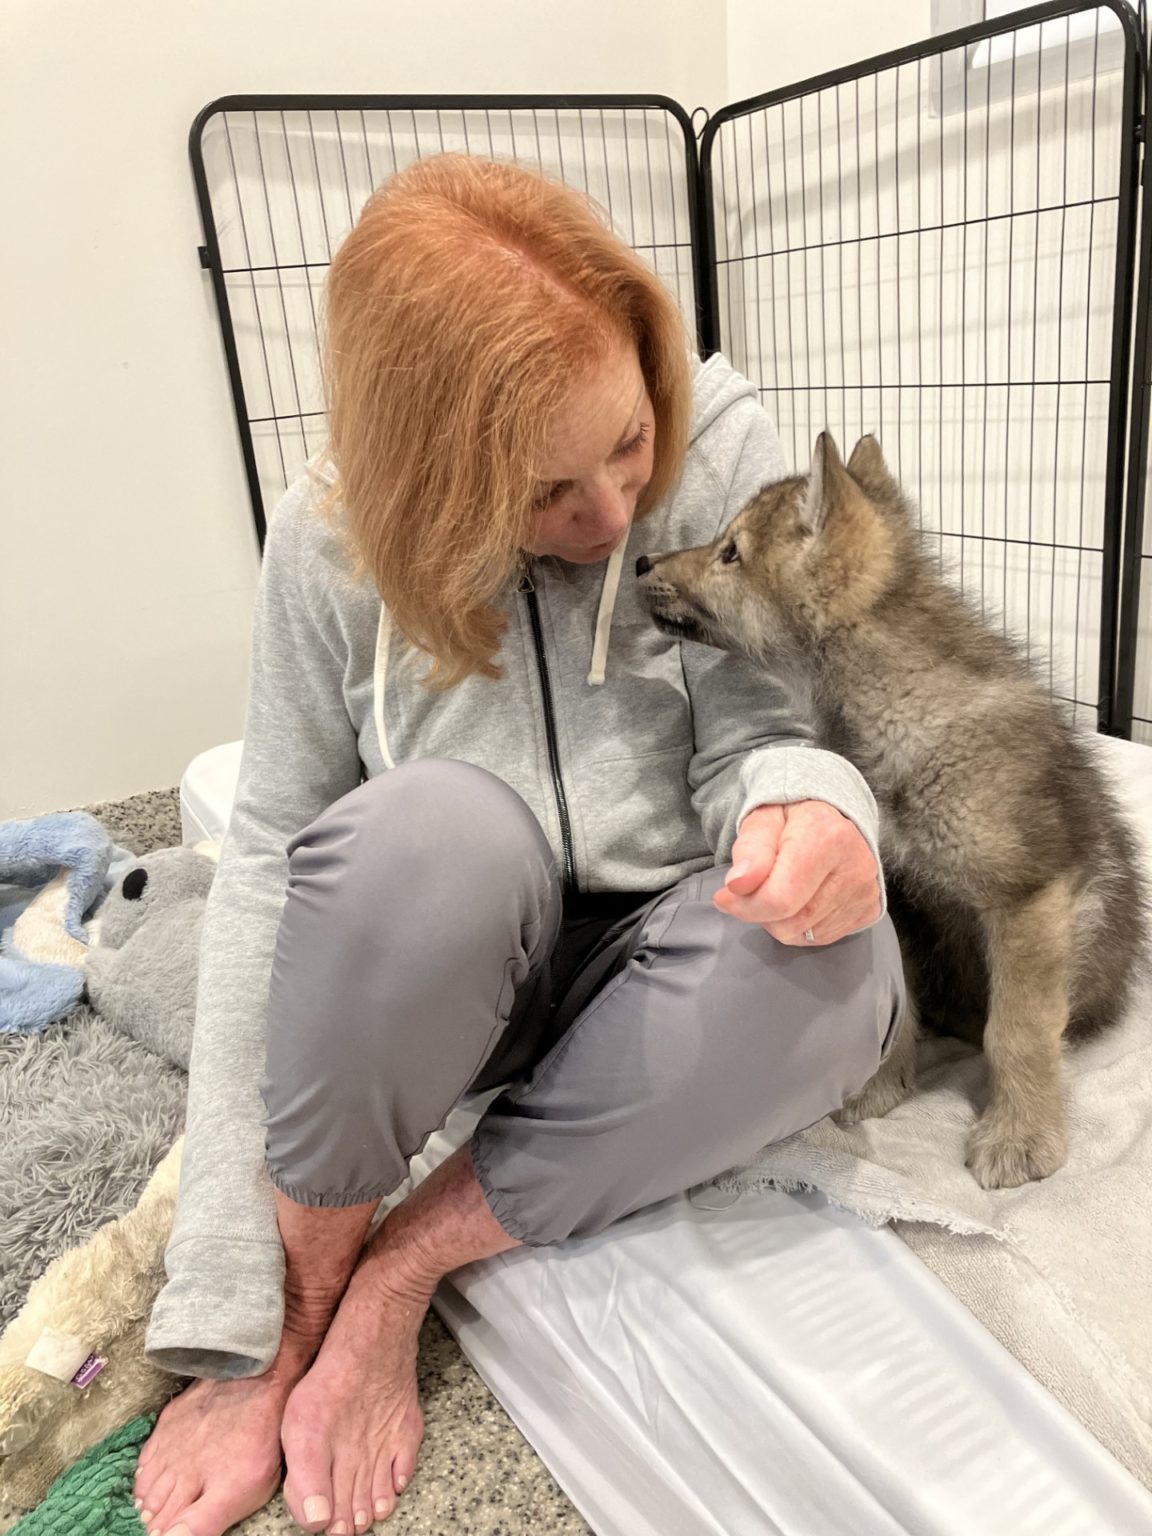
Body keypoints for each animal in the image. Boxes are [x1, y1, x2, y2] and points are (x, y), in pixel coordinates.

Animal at [636, 432, 1147, 1188]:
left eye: (730, 552)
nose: (641, 561)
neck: (891, 702)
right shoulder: (892, 893)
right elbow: (895, 1010)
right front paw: (883, 1084)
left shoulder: (1029, 897)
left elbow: (1017, 1031)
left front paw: (1022, 1136)